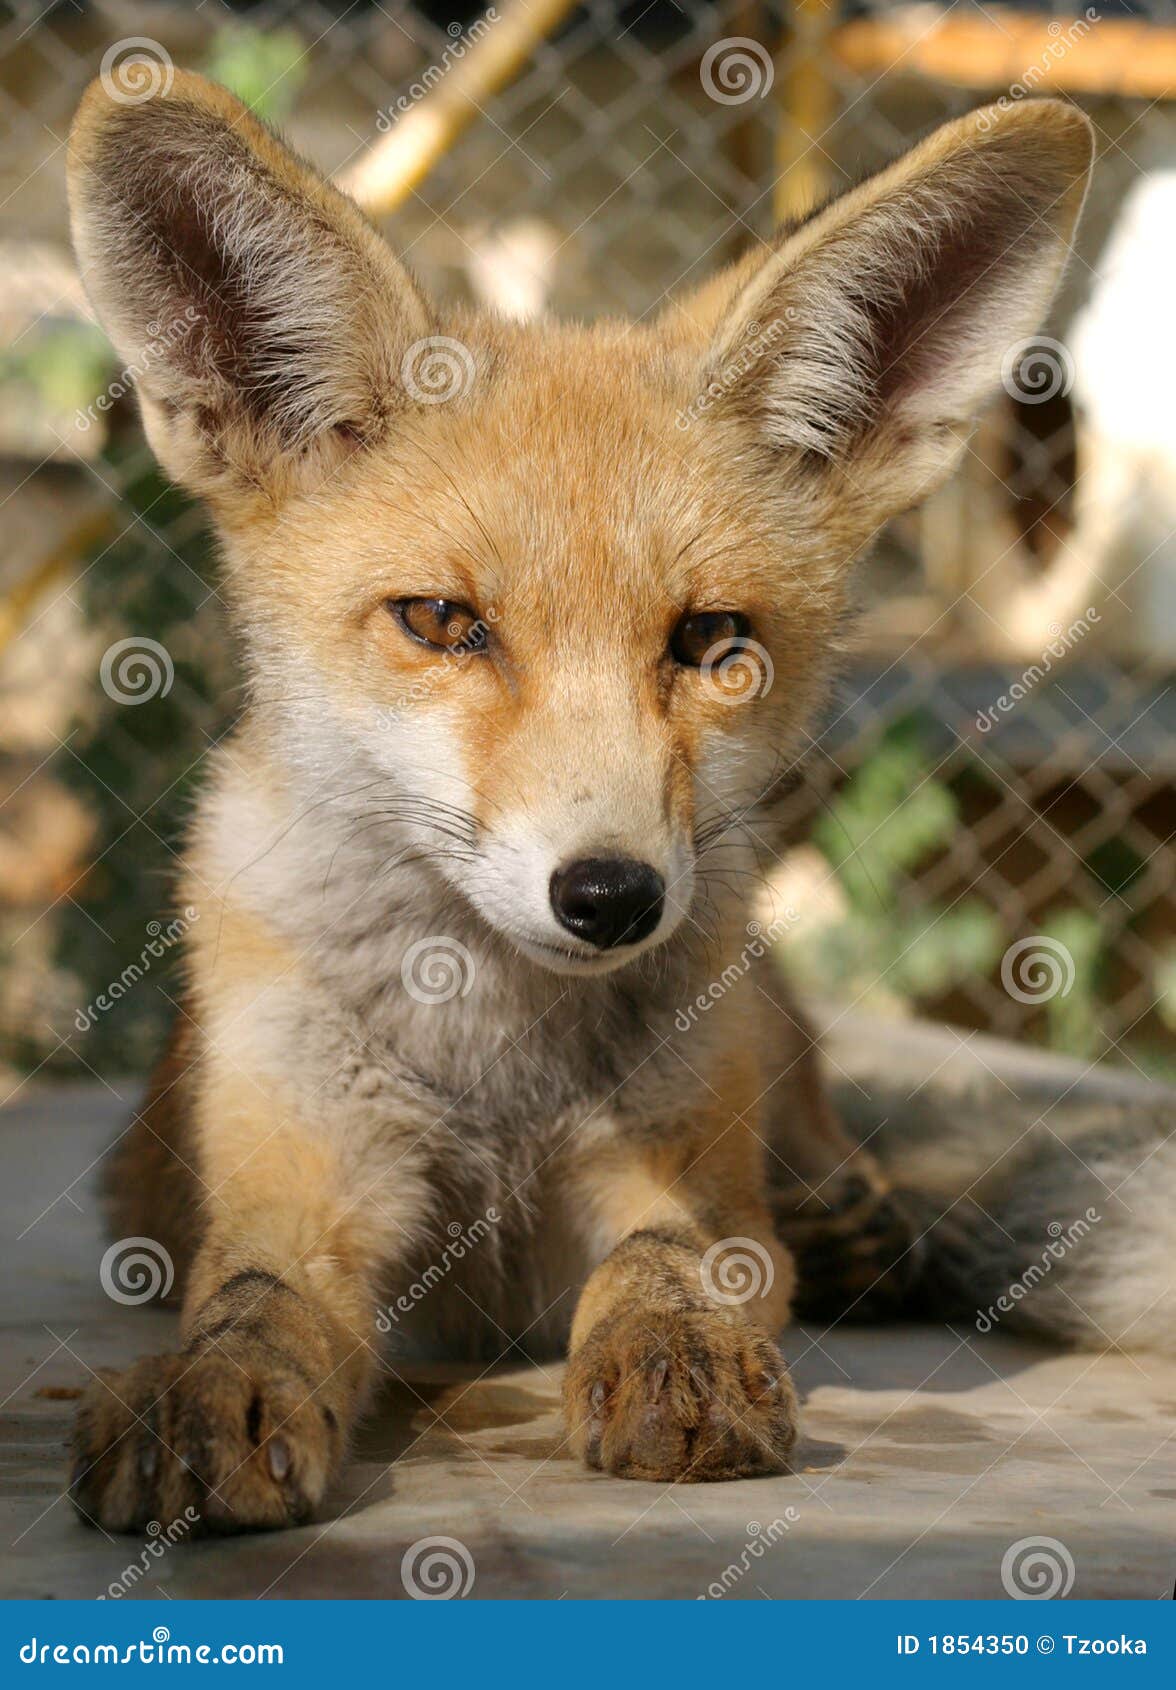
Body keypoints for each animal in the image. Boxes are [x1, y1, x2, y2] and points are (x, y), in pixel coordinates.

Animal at [64, 70, 1170, 1538]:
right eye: (441, 622)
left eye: (710, 639)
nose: (609, 895)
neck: (496, 1074)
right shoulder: (306, 1177)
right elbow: (256, 1299)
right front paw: (209, 1390)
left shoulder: (674, 1170)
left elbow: (663, 1259)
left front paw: (678, 1353)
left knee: (831, 1150)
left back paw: (856, 1219)